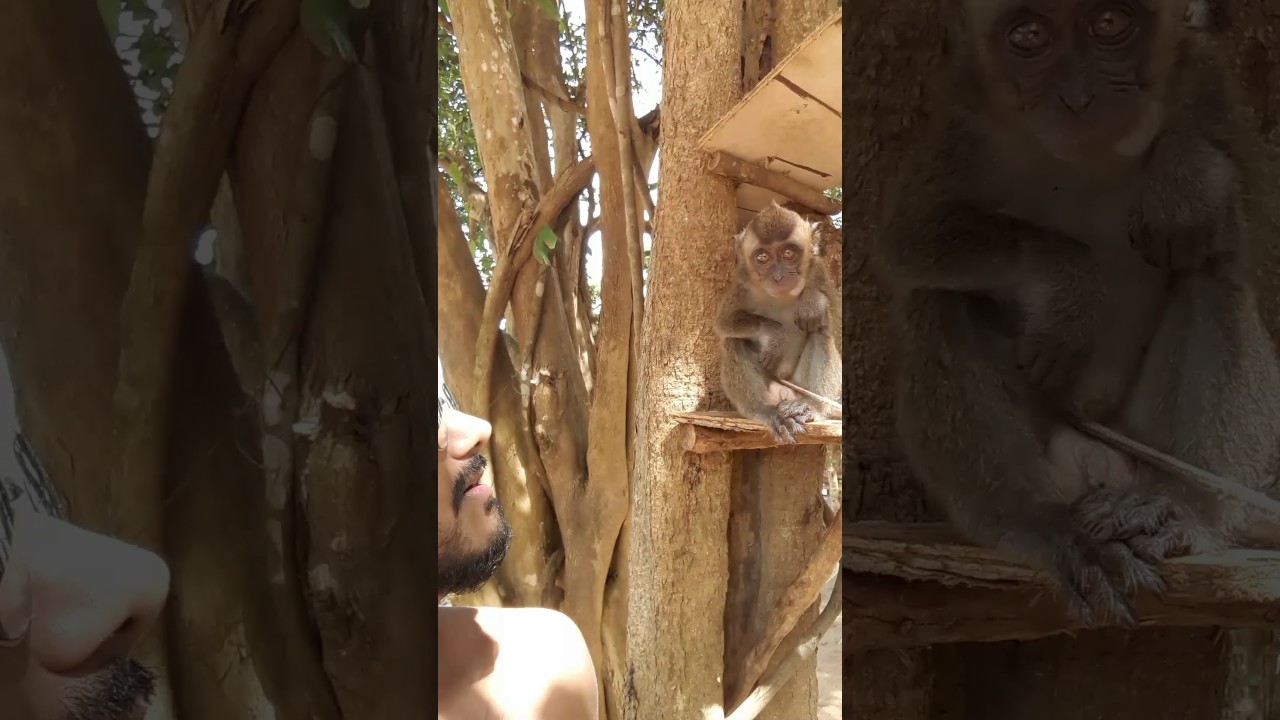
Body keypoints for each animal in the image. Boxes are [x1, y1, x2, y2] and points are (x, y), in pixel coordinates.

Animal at [714, 202, 841, 444]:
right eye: (762, 257)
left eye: (788, 253)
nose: (779, 276)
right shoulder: (741, 282)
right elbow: (723, 323)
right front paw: (774, 335)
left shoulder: (819, 271)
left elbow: (837, 327)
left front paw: (811, 301)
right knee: (733, 341)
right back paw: (764, 411)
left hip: (798, 387)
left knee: (821, 328)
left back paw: (813, 407)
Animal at [873, 0, 1280, 627]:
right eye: (1029, 36)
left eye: (1109, 24)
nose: (1079, 97)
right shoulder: (962, 117)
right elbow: (909, 239)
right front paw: (1069, 283)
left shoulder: (1207, 81)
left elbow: (1261, 249)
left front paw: (1184, 174)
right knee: (937, 300)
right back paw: (1034, 523)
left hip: (1141, 446)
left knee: (1212, 265)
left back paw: (1186, 508)